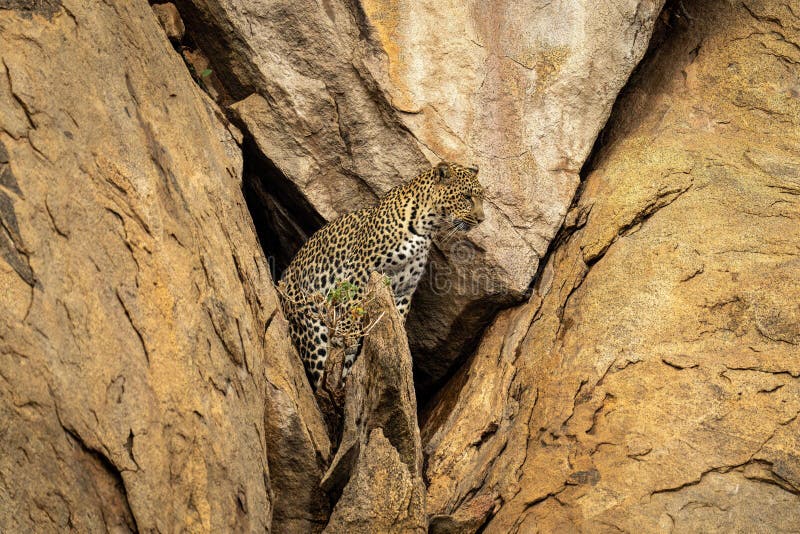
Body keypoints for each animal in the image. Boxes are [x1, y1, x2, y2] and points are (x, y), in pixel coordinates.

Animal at [278, 161, 485, 389]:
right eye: (467, 197)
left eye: (481, 198)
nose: (481, 219)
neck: (426, 226)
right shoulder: (361, 267)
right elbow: (353, 303)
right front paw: (347, 334)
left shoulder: (404, 288)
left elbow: (398, 316)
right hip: (312, 329)